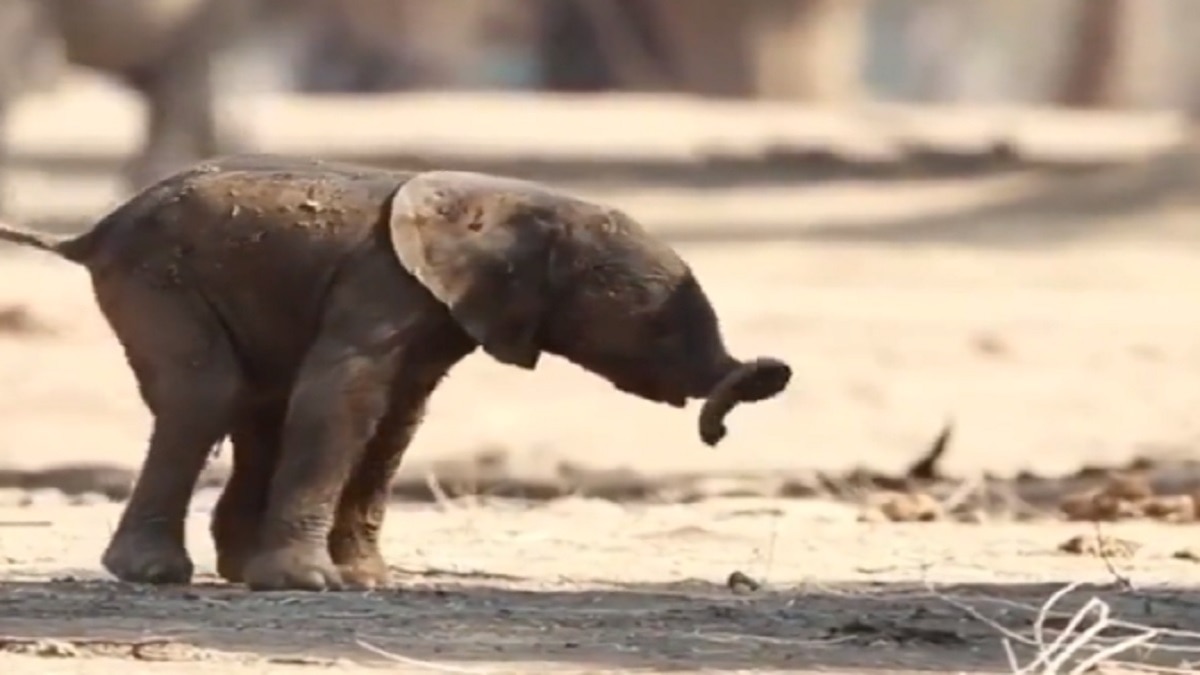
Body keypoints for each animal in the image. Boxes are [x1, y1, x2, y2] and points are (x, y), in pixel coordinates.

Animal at [0, 154, 792, 591]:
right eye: (653, 318)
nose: (768, 373)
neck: (522, 203)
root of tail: (93, 230)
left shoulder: (444, 311)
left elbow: (397, 419)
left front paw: (364, 581)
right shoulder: (381, 282)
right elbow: (346, 396)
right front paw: (313, 585)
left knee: (255, 401)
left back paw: (235, 570)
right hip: (154, 279)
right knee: (208, 394)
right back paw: (158, 574)